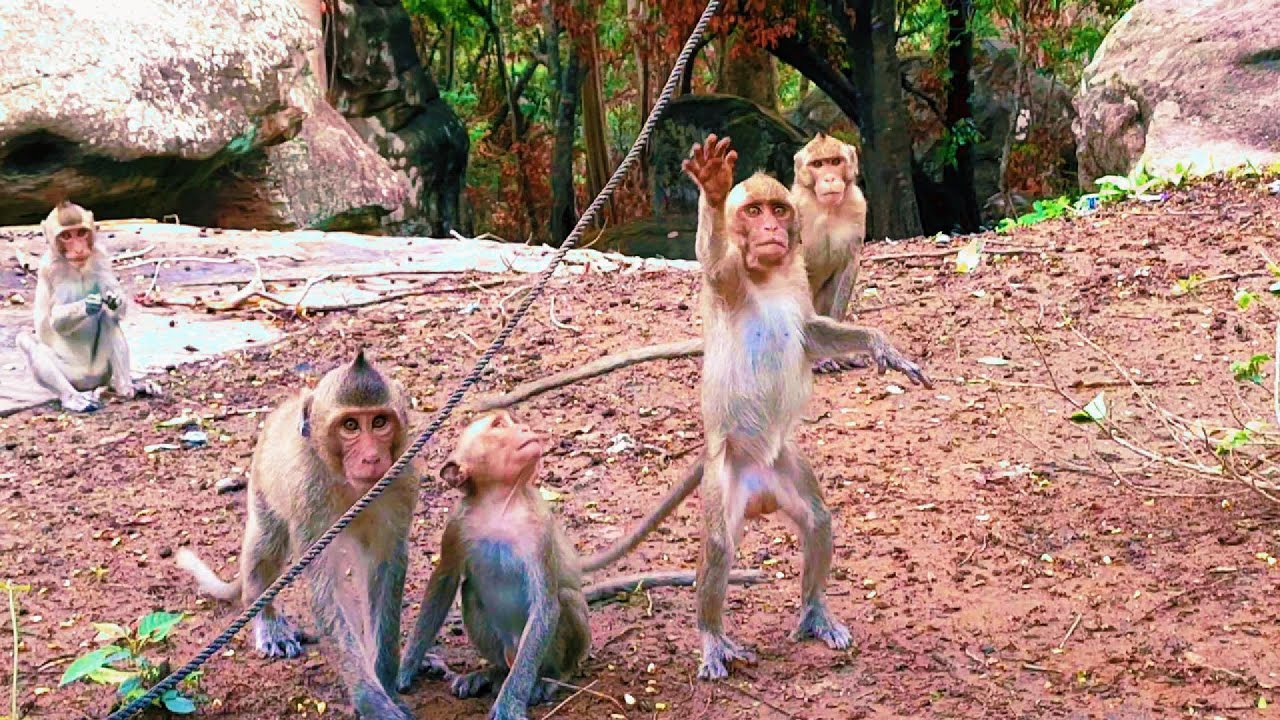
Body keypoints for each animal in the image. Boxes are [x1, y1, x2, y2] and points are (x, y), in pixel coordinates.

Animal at [16, 200, 161, 412]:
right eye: (67, 236)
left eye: (81, 233)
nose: (78, 249)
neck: (78, 266)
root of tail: (90, 380)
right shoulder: (51, 268)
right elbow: (56, 320)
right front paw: (89, 304)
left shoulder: (100, 255)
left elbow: (118, 309)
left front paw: (115, 300)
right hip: (73, 375)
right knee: (26, 340)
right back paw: (73, 398)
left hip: (102, 370)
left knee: (109, 318)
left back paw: (125, 387)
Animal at [175, 350, 418, 720]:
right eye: (350, 426)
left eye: (379, 422)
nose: (372, 457)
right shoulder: (308, 492)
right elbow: (325, 587)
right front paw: (371, 700)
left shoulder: (401, 477)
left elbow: (386, 567)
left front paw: (385, 682)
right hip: (262, 483)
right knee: (265, 545)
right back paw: (266, 617)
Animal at [396, 411, 763, 718]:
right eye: (499, 425)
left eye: (512, 420)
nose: (524, 428)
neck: (500, 505)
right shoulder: (456, 526)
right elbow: (443, 584)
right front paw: (407, 667)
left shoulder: (539, 531)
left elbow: (545, 604)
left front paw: (510, 703)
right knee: (471, 594)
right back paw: (493, 672)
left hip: (548, 650)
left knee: (564, 602)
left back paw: (551, 678)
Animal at [791, 133, 869, 373]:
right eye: (818, 164)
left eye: (835, 162)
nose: (829, 179)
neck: (826, 208)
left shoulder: (858, 205)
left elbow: (849, 264)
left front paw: (838, 355)